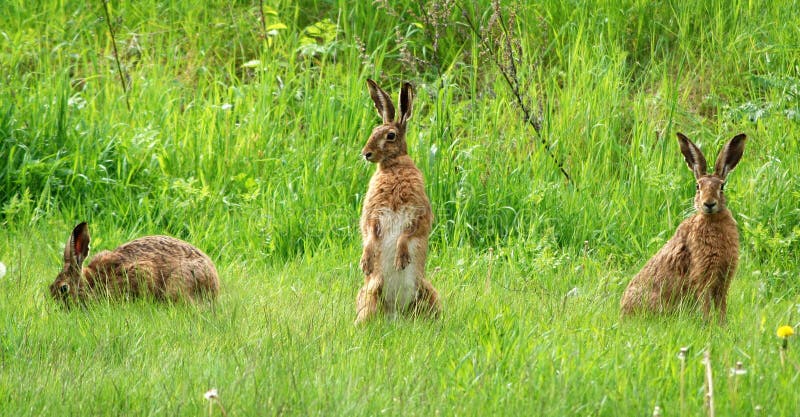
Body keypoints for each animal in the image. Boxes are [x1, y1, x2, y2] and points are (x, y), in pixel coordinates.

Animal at [50, 222, 219, 306]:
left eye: (63, 288)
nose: (55, 306)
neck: (90, 282)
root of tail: (215, 284)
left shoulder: (141, 272)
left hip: (179, 283)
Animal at [355, 79, 441, 324]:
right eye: (374, 131)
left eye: (390, 136)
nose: (366, 154)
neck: (394, 165)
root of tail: (396, 313)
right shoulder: (373, 214)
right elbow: (370, 234)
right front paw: (366, 263)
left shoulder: (418, 213)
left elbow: (408, 234)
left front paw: (401, 260)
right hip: (369, 293)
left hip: (427, 290)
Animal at [620, 132, 747, 323]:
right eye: (697, 187)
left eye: (722, 187)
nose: (709, 204)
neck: (712, 219)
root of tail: (622, 310)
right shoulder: (702, 275)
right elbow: (706, 304)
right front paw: (708, 324)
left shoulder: (723, 279)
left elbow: (721, 305)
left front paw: (722, 325)